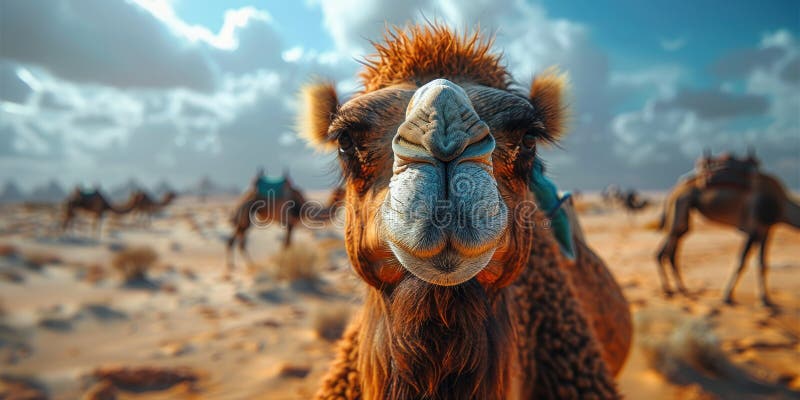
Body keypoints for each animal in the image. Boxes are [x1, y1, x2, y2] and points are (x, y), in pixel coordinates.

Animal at [657, 151, 800, 306]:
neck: (783, 205)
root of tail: (674, 190)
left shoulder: (767, 229)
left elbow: (762, 264)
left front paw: (765, 299)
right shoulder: (754, 227)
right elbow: (741, 262)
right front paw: (726, 297)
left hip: (683, 212)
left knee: (672, 250)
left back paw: (681, 290)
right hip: (680, 205)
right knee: (663, 251)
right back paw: (669, 291)